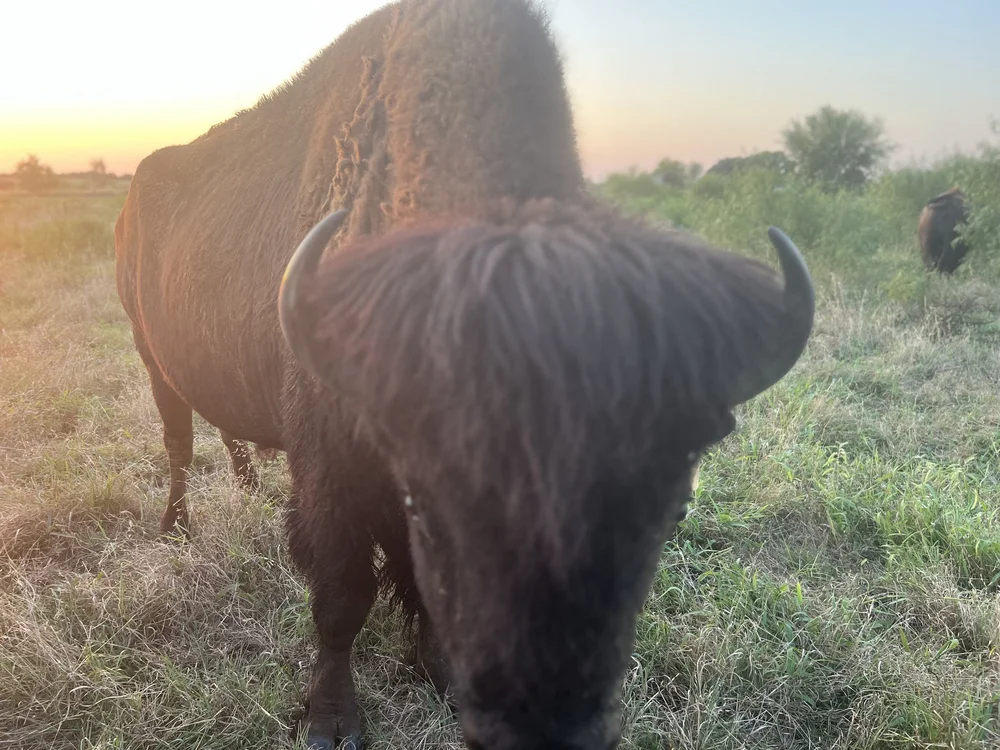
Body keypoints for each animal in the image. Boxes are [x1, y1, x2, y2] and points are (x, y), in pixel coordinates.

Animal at [114, 1, 814, 748]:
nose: (543, 725)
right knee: (178, 441)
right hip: (149, 355)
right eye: (427, 500)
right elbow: (343, 595)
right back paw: (176, 526)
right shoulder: (332, 474)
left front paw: (439, 675)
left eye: (677, 504)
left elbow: (416, 587)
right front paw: (333, 720)